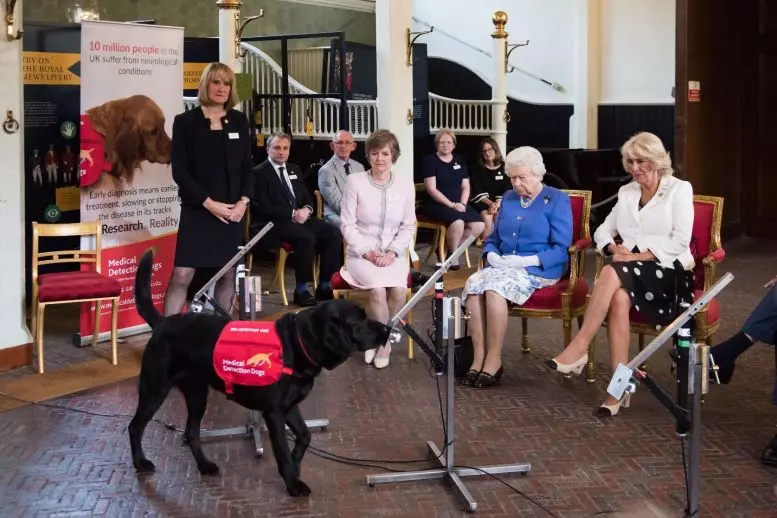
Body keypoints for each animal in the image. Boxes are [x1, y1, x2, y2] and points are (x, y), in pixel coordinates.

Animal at [130, 251, 392, 496]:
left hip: (197, 395)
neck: (298, 344)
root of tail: (163, 322)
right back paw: (141, 463)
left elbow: (305, 435)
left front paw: (297, 463)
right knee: (135, 427)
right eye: (359, 321)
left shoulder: (289, 406)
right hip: (155, 389)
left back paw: (204, 465)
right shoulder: (274, 412)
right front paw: (293, 483)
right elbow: (282, 451)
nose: (387, 329)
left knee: (192, 433)